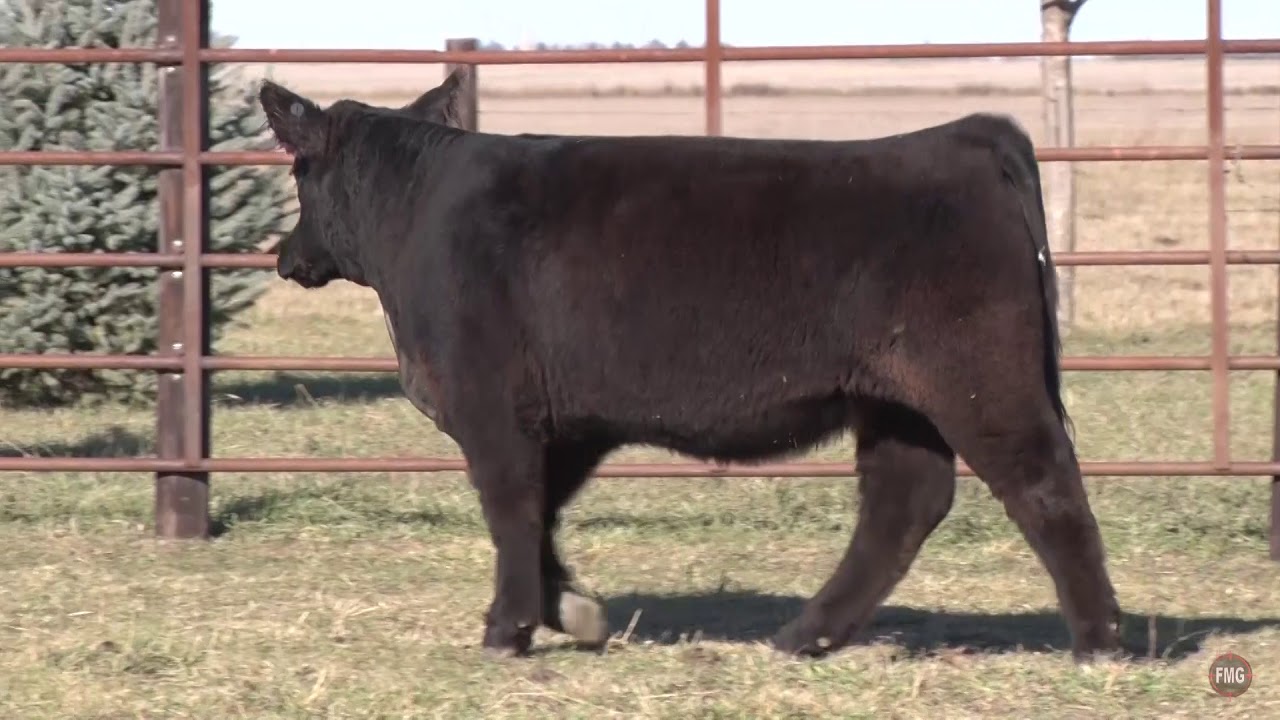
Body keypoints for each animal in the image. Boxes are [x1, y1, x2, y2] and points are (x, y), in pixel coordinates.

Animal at [257, 69, 1124, 662]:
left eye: (298, 171)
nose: (285, 255)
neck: (416, 216)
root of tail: (962, 137)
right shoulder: (568, 421)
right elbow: (540, 511)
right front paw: (571, 608)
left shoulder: (491, 406)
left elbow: (510, 508)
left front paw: (509, 627)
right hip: (896, 400)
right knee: (904, 502)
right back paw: (804, 634)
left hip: (980, 380)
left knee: (1043, 484)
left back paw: (1100, 639)